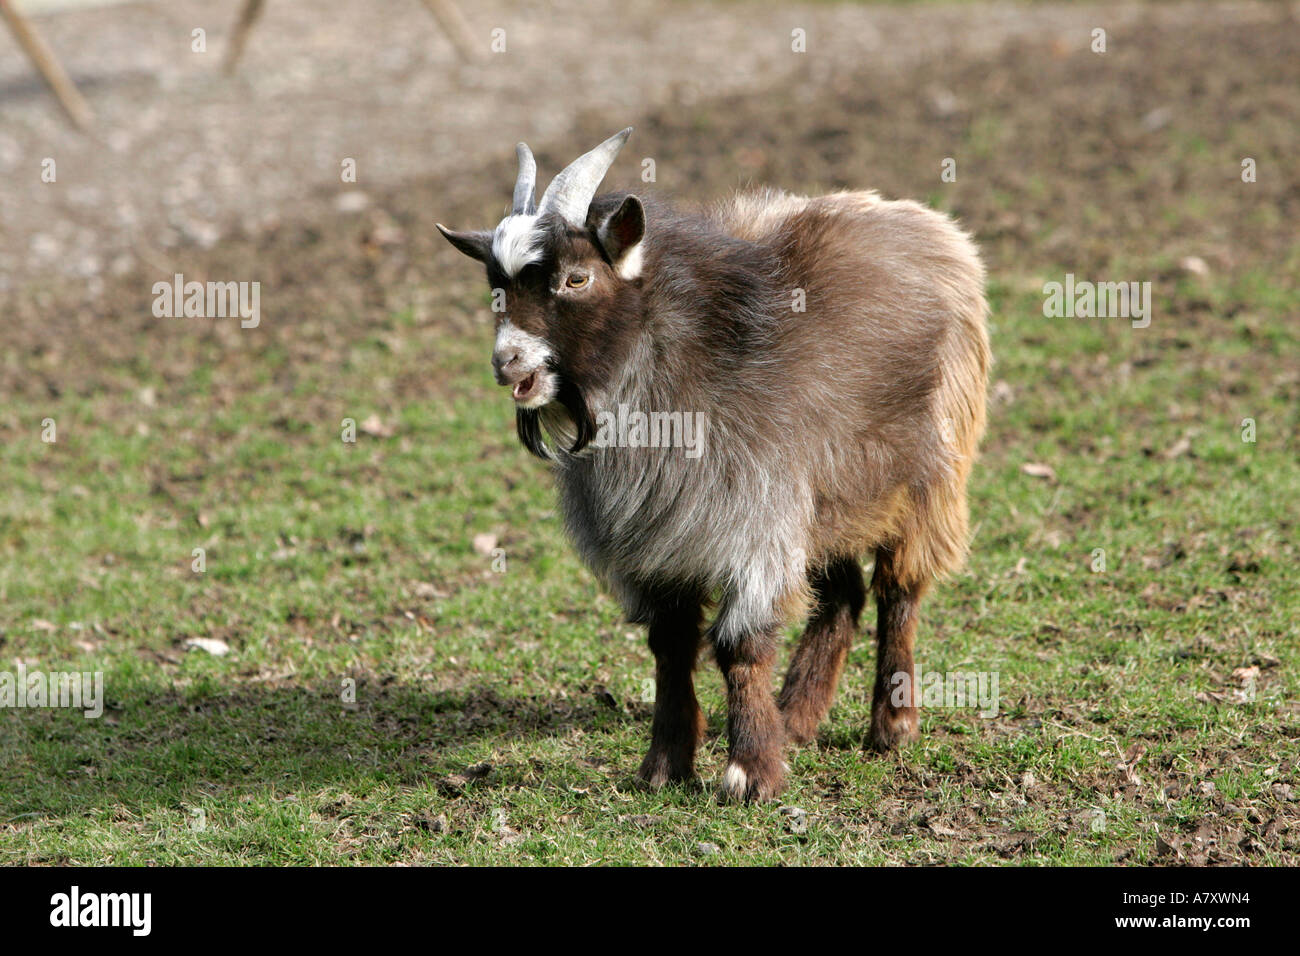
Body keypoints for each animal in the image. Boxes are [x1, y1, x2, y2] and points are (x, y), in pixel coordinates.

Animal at [438, 128, 990, 801]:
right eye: (495, 286)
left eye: (575, 278)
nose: (509, 362)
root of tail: (927, 226)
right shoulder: (658, 541)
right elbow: (670, 644)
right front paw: (666, 764)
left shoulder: (755, 520)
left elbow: (739, 646)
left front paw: (750, 772)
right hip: (830, 498)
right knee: (842, 595)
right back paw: (796, 717)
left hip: (926, 477)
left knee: (899, 591)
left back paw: (891, 727)